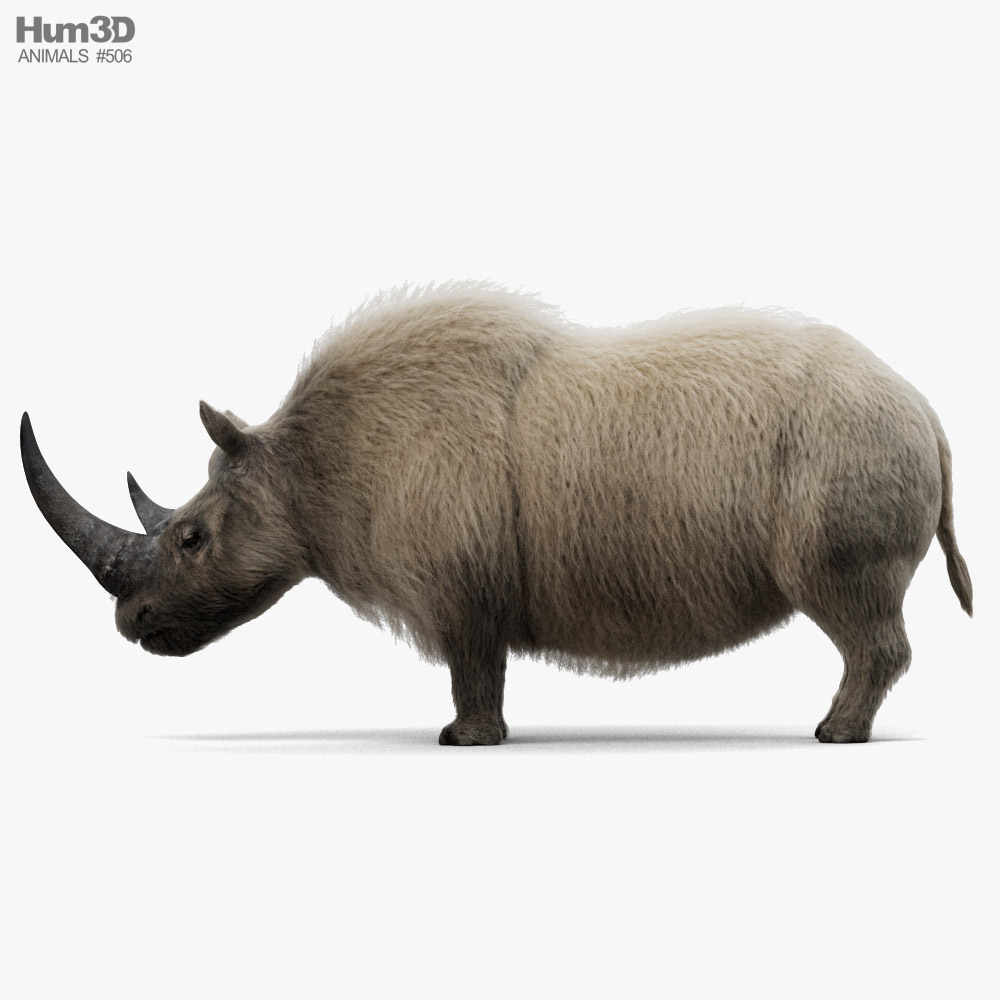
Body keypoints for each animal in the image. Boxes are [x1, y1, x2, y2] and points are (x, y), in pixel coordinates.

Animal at [21, 284, 972, 745]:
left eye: (191, 538)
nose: (130, 623)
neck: (303, 466)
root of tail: (928, 412)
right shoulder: (470, 580)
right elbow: (479, 663)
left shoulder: (459, 586)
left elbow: (472, 666)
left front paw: (461, 742)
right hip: (865, 436)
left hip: (849, 443)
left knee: (848, 608)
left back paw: (832, 736)